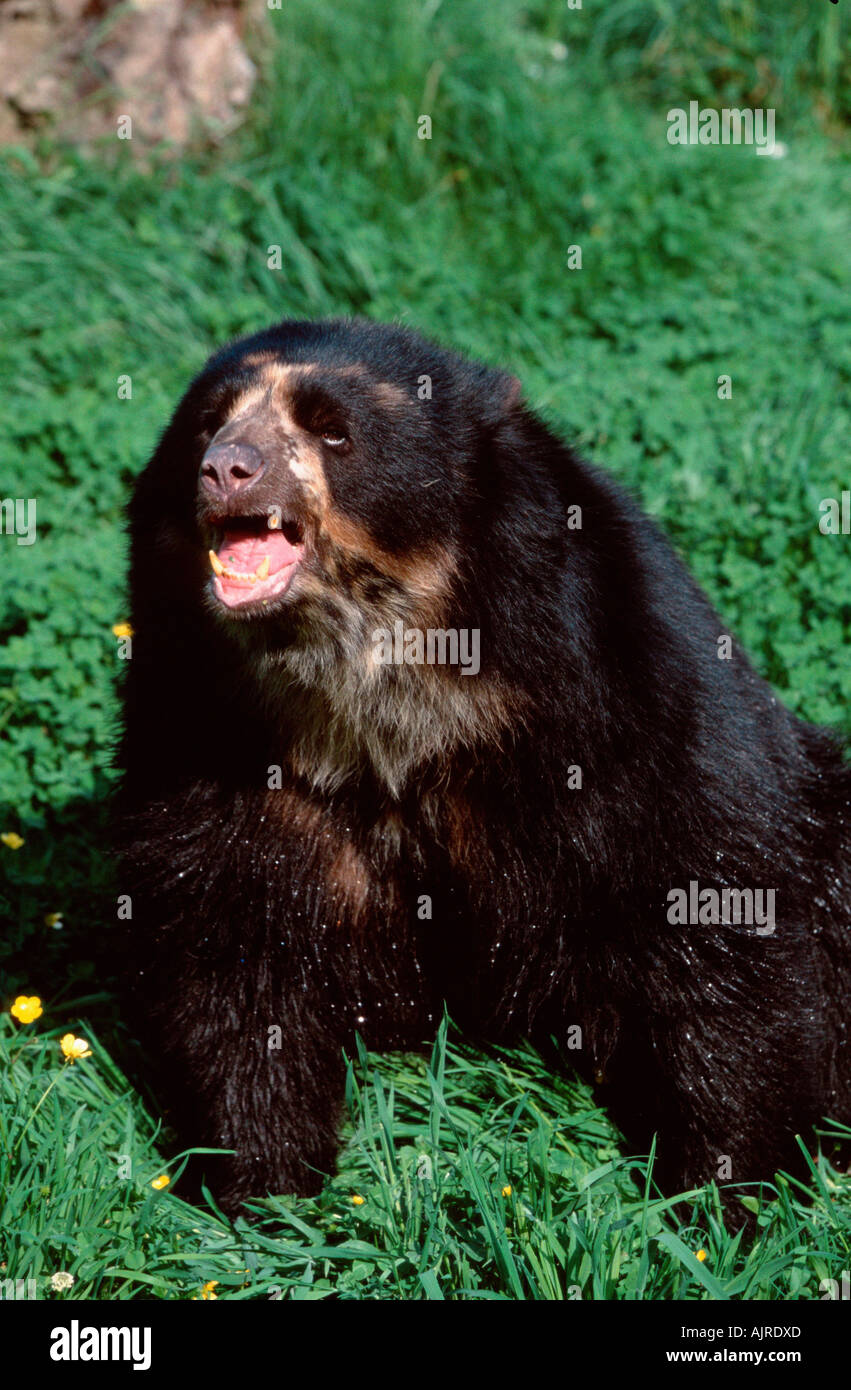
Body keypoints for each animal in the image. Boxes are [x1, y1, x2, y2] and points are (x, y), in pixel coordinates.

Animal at [119, 316, 851, 1215]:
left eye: (332, 429)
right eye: (206, 419)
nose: (227, 467)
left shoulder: (619, 687)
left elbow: (710, 896)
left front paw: (723, 1189)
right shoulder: (217, 741)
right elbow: (232, 944)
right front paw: (266, 1189)